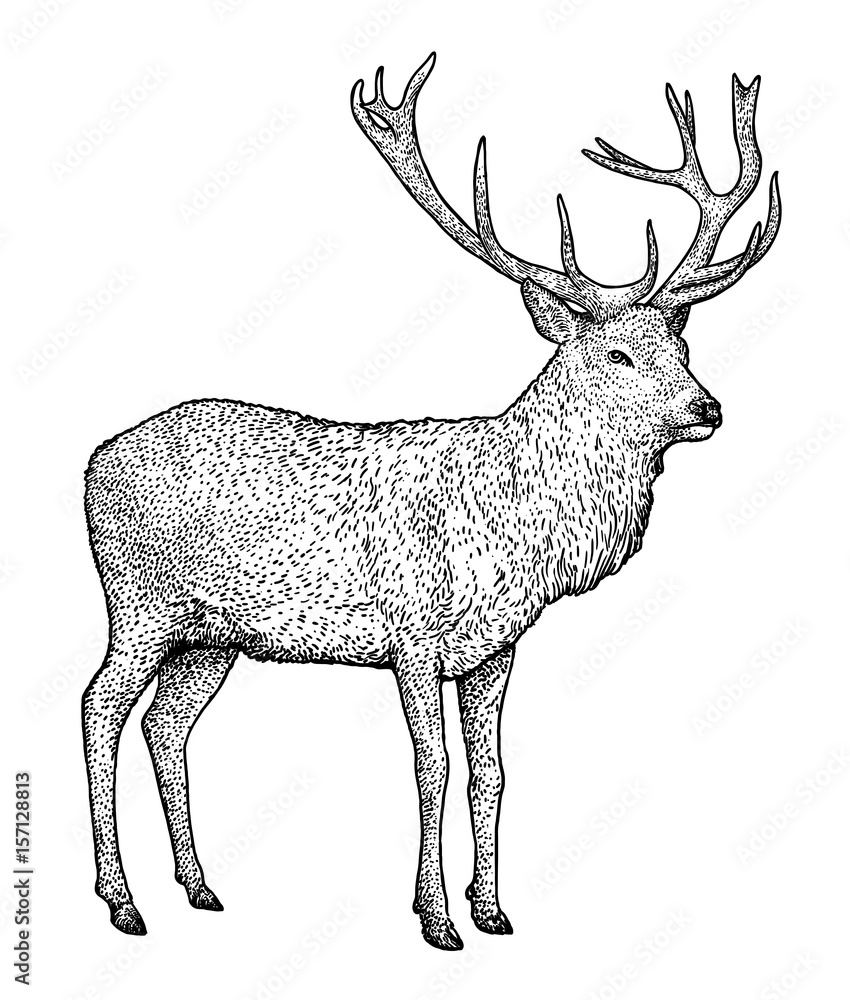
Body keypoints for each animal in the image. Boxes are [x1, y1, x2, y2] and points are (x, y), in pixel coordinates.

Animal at [82, 53, 780, 951]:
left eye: (683, 344)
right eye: (618, 354)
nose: (708, 408)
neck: (515, 532)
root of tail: (92, 462)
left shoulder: (493, 646)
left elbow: (491, 769)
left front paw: (492, 909)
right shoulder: (412, 631)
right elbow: (432, 766)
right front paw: (437, 917)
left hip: (212, 635)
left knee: (165, 724)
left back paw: (199, 888)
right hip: (140, 600)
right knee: (99, 705)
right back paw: (121, 901)